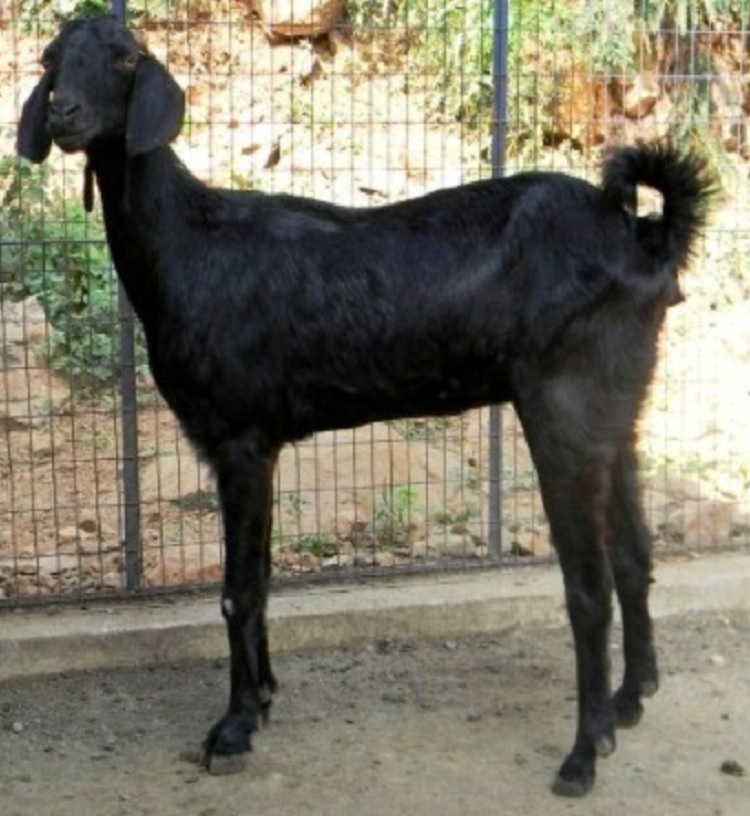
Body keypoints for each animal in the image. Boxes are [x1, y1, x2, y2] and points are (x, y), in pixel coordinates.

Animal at [17, 15, 715, 797]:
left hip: (563, 405)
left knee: (587, 586)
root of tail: (645, 236)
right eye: (50, 59)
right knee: (634, 553)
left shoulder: (241, 437)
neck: (191, 244)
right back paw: (631, 699)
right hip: (618, 409)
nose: (63, 114)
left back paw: (584, 753)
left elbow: (238, 591)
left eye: (126, 58)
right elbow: (260, 579)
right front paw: (262, 702)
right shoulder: (260, 446)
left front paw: (232, 728)